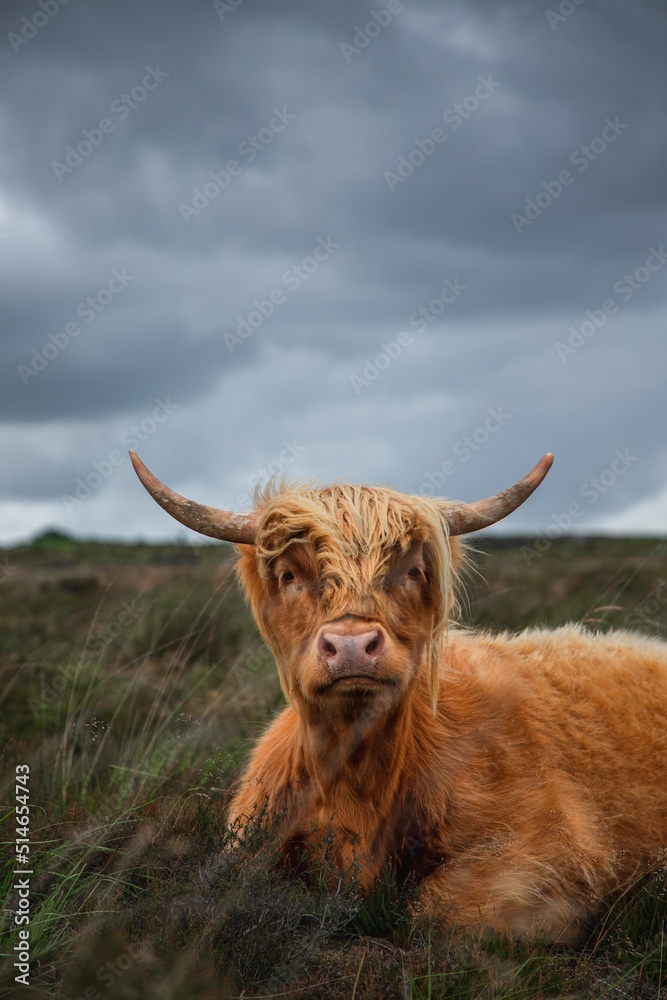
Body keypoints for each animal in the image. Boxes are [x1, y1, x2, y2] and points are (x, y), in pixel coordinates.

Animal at [130, 450, 667, 942]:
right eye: (288, 575)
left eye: (411, 572)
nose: (351, 646)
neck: (358, 779)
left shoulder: (550, 846)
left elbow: (440, 908)